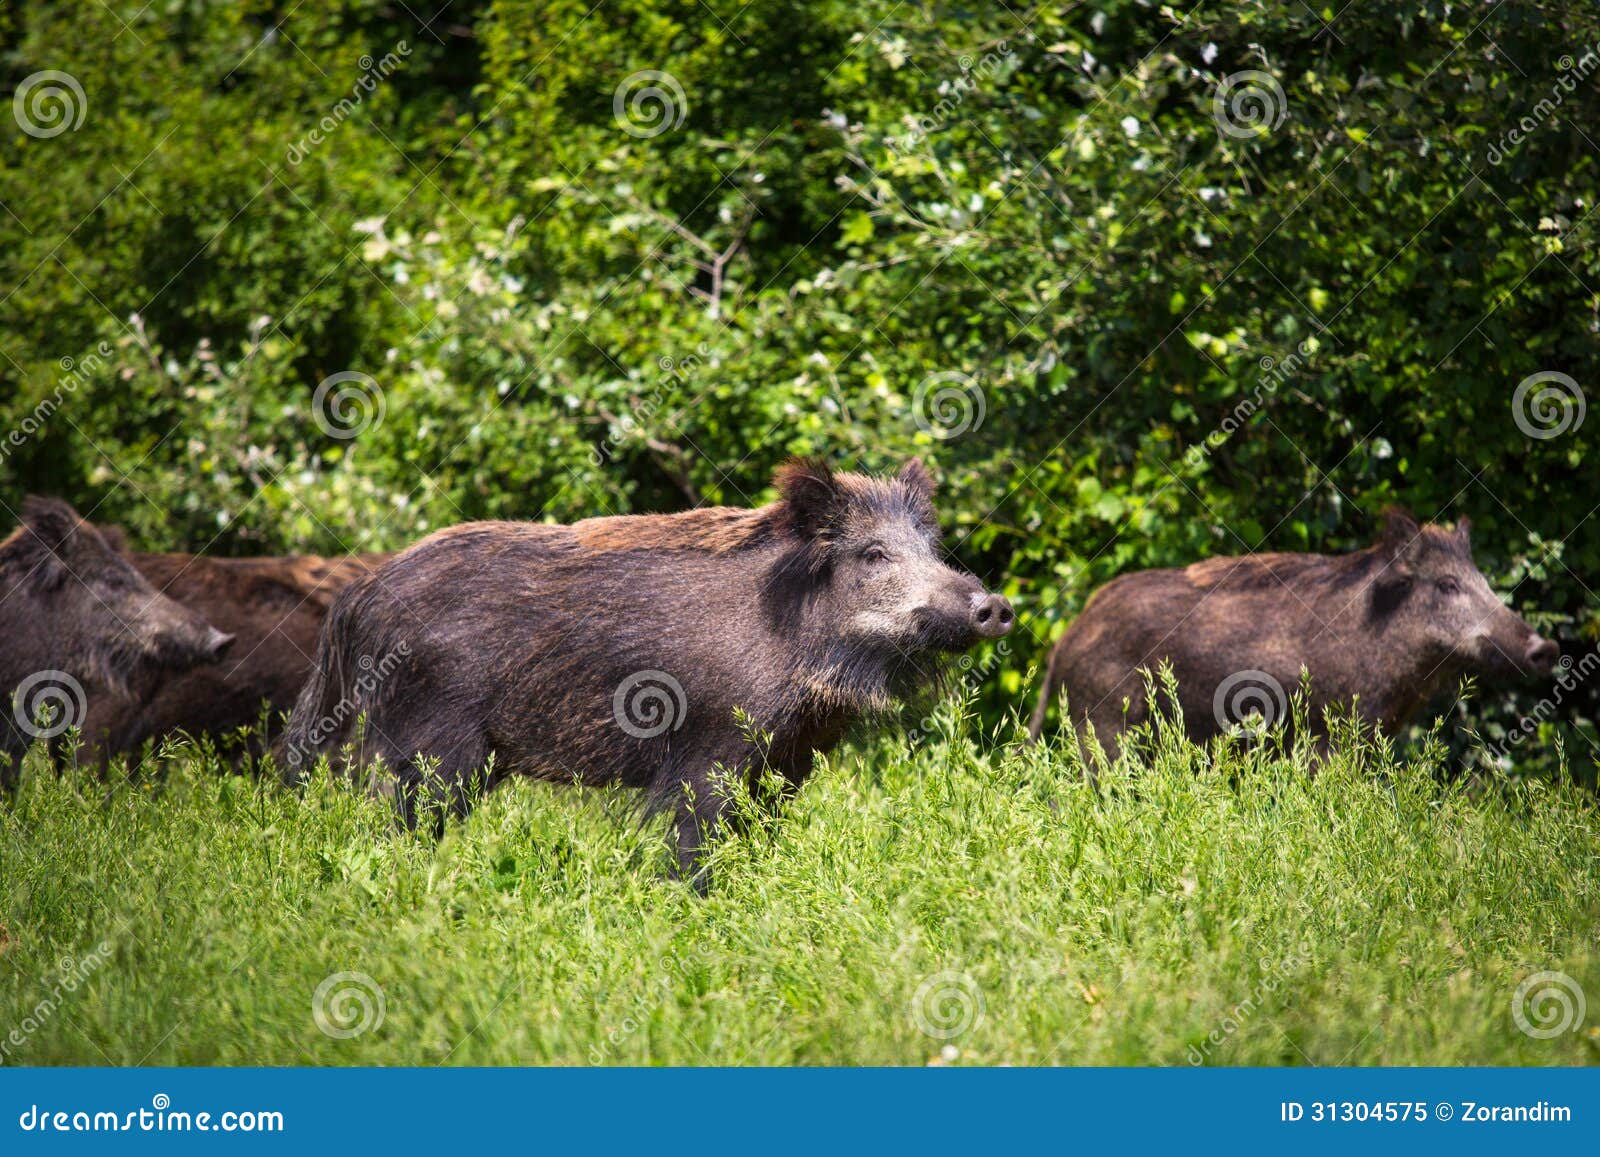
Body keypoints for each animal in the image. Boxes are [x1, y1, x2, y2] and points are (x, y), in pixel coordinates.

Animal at [280, 457, 1014, 884]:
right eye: (873, 553)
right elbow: (692, 844)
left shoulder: (787, 762)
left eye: (929, 546)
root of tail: (361, 594)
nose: (996, 606)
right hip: (433, 747)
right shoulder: (709, 751)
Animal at [1028, 509, 1558, 760]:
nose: (1546, 648)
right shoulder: (1330, 732)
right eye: (1448, 585)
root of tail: (1066, 638)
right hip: (1103, 726)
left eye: (1483, 579)